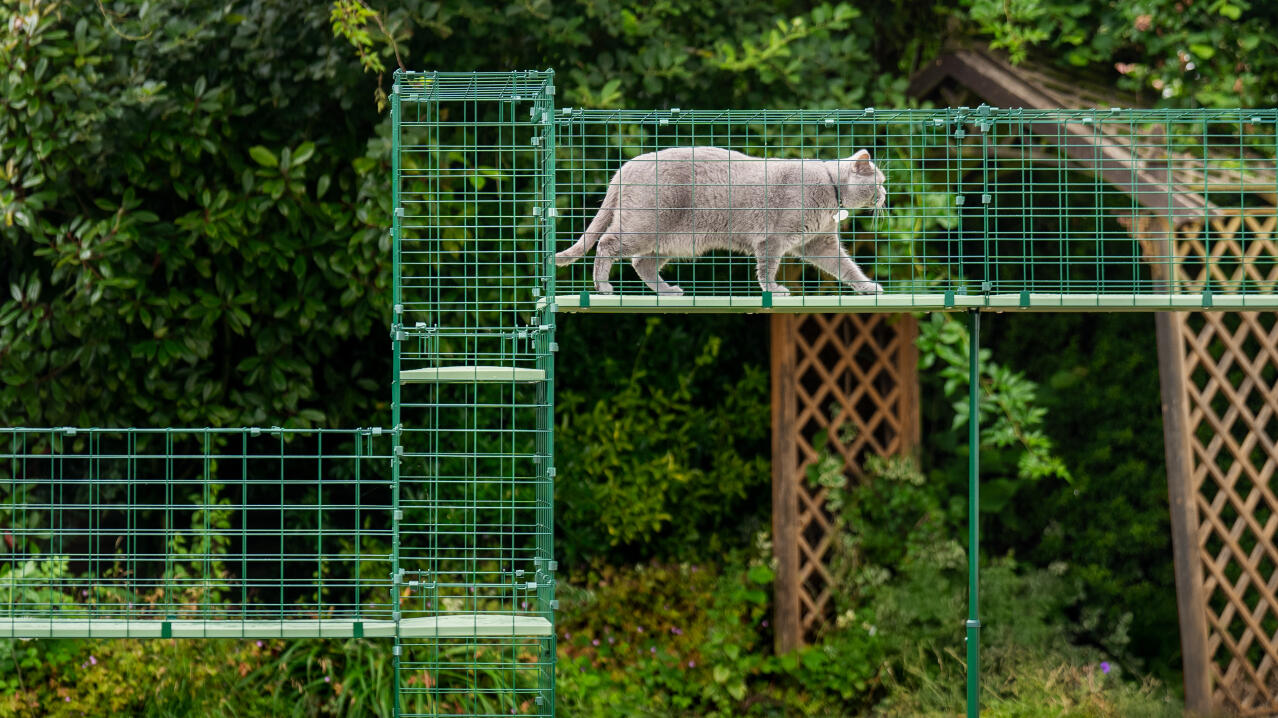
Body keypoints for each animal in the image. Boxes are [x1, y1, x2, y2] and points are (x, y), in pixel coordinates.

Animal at [554, 145, 884, 293]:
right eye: (879, 181)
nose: (884, 195)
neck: (830, 186)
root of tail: (624, 168)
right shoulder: (774, 239)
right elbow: (767, 268)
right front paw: (773, 290)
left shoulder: (819, 243)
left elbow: (847, 268)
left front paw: (869, 287)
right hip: (645, 225)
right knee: (607, 243)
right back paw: (603, 286)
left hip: (670, 241)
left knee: (641, 263)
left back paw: (668, 290)